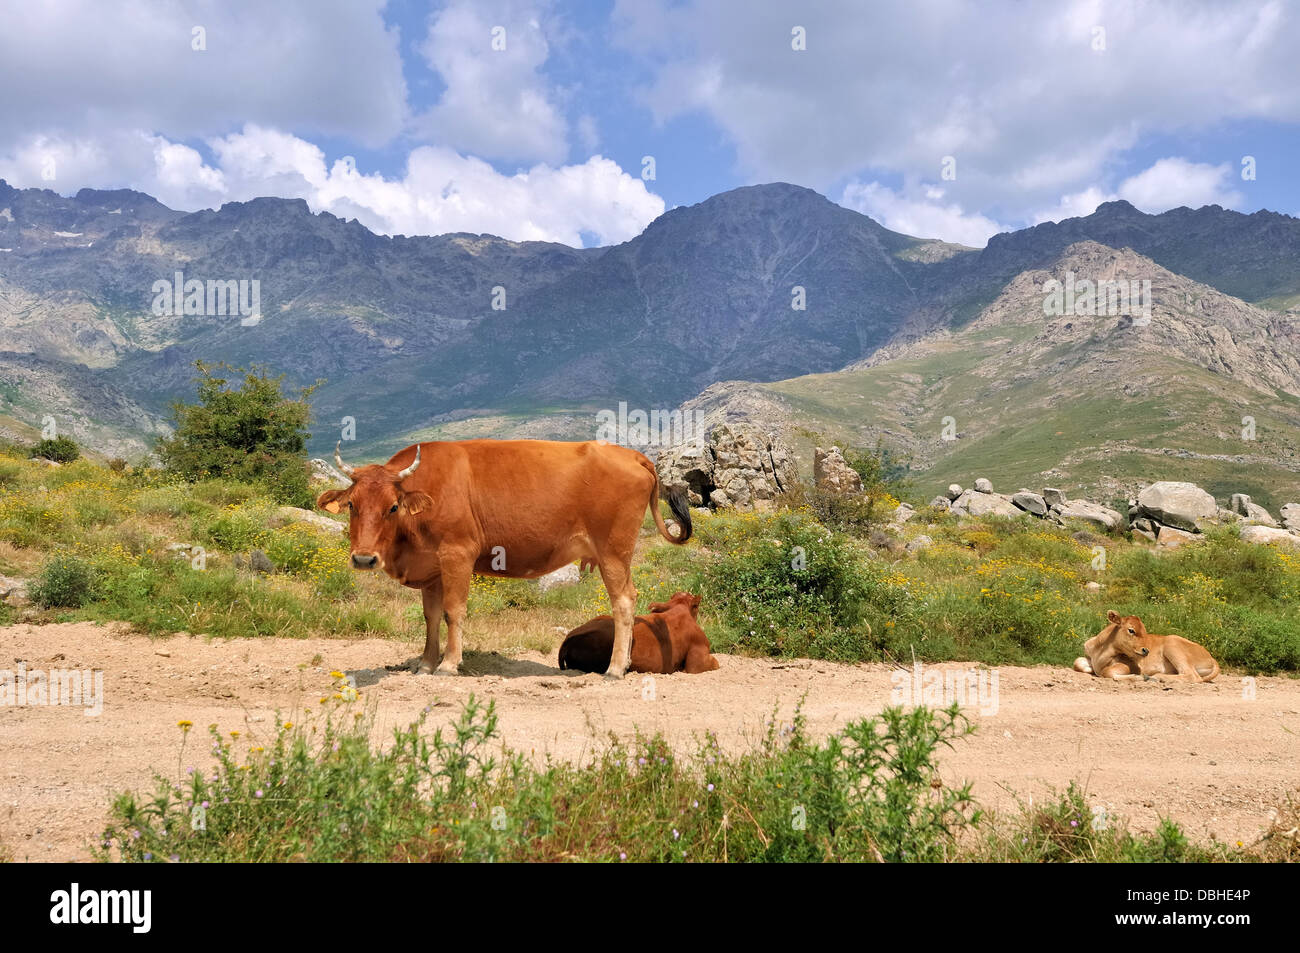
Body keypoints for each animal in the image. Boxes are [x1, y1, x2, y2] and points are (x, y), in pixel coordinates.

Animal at [319, 440, 692, 678]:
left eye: (393, 507)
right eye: (352, 504)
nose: (363, 559)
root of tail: (633, 456)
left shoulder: (457, 555)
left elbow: (454, 611)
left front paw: (448, 664)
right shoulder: (432, 568)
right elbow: (431, 616)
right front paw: (425, 664)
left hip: (614, 553)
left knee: (624, 601)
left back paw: (615, 669)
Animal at [1073, 610, 1219, 683]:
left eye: (1145, 632)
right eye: (1131, 630)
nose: (1146, 650)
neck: (1100, 653)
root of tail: (1212, 658)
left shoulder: (1132, 665)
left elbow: (1107, 672)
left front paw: (1139, 677)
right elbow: (1077, 663)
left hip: (1173, 645)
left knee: (1191, 675)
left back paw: (1156, 677)